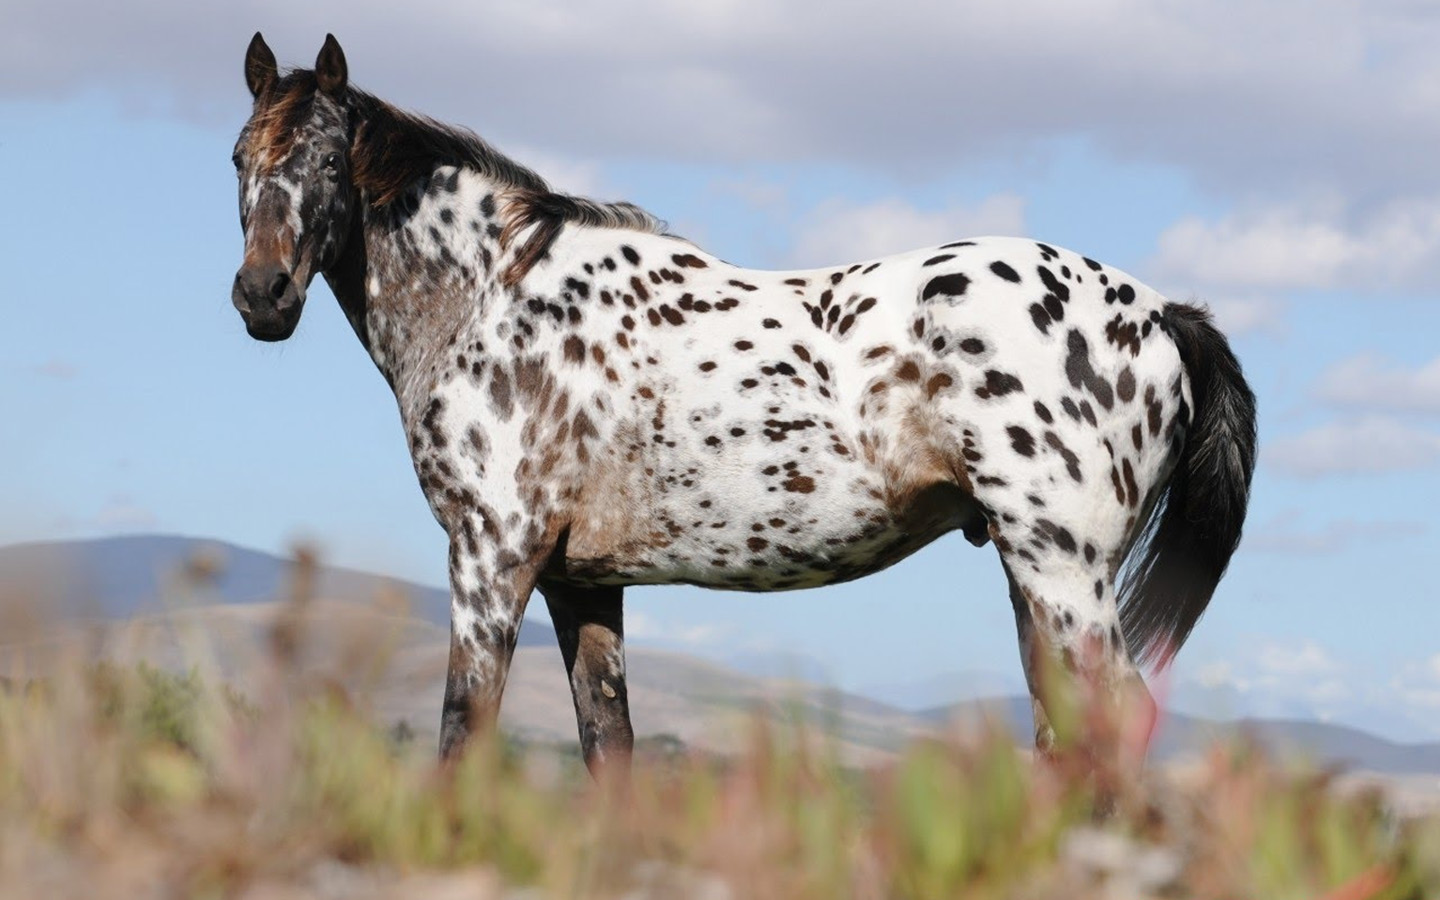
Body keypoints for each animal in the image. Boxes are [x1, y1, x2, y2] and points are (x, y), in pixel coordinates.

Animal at [230, 33, 1257, 775]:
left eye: (332, 161)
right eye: (240, 156)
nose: (262, 296)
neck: (493, 294)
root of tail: (1163, 315)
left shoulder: (493, 559)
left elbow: (461, 734)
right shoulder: (581, 582)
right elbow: (609, 750)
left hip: (1062, 570)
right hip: (1034, 571)